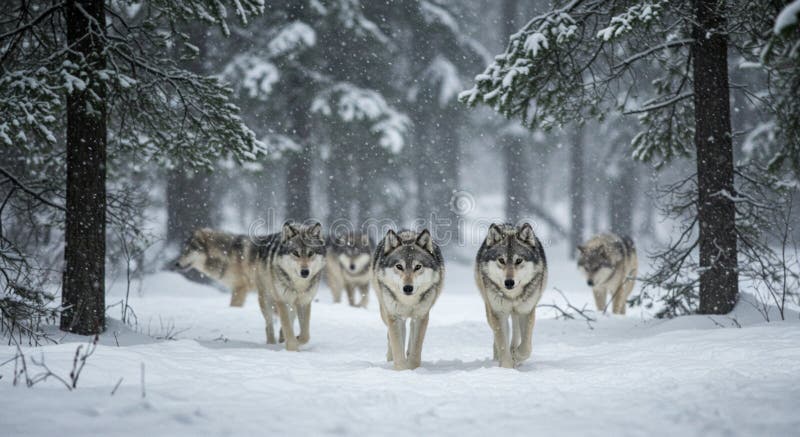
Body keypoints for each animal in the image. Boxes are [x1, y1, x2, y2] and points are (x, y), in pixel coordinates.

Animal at [372, 229, 444, 370]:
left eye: (418, 267)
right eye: (399, 266)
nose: (408, 288)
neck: (408, 302)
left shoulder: (421, 316)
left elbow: (416, 349)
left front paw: (413, 369)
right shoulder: (394, 316)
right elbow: (397, 347)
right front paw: (401, 370)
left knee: (410, 330)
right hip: (385, 311)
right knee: (392, 335)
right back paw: (390, 358)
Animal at [475, 223, 547, 368]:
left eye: (518, 260)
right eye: (501, 260)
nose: (509, 282)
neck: (512, 296)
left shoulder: (526, 311)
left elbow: (526, 347)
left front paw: (516, 357)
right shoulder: (498, 313)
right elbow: (502, 343)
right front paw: (506, 368)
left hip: (516, 313)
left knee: (515, 332)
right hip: (491, 311)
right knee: (500, 335)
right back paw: (498, 358)